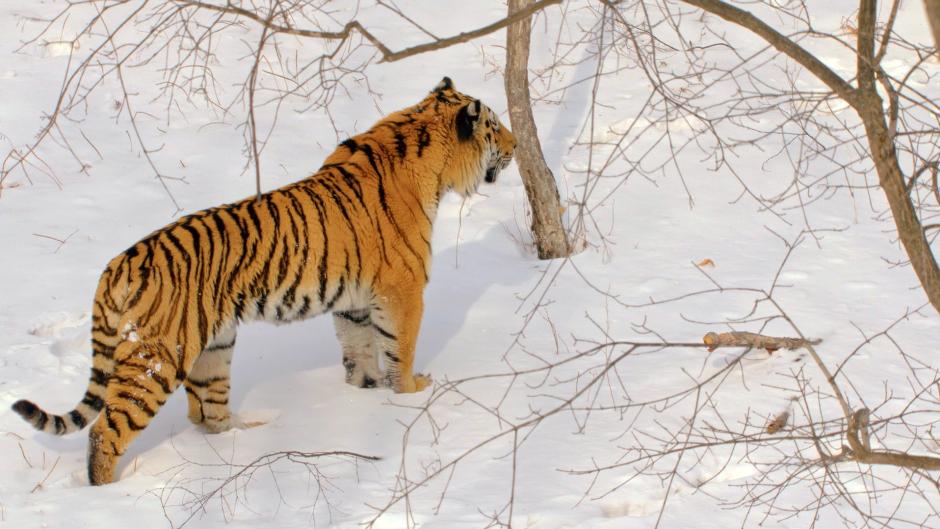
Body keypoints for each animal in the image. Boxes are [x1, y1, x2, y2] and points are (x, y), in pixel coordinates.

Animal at [11, 77, 516, 485]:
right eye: (495, 128)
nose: (514, 147)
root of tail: (118, 262)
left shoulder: (354, 302)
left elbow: (359, 351)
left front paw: (363, 394)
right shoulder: (402, 291)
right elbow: (400, 348)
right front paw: (411, 393)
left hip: (214, 346)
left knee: (205, 412)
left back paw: (250, 435)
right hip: (158, 356)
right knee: (106, 430)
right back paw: (106, 491)